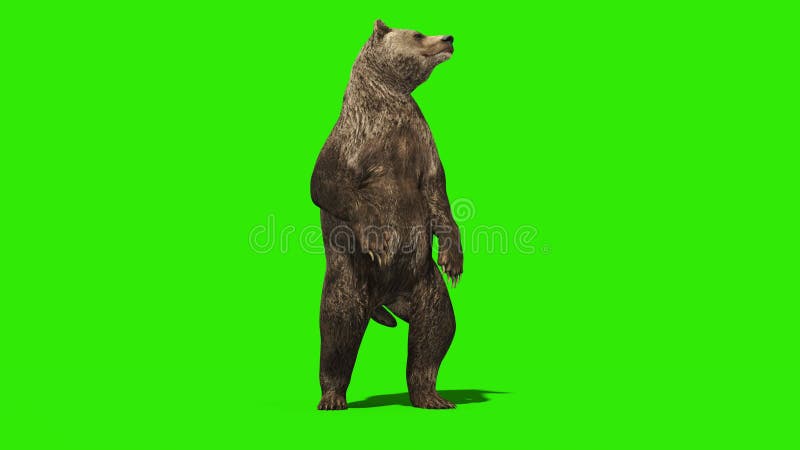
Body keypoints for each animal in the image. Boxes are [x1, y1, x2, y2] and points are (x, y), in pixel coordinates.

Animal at [310, 19, 462, 410]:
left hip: (423, 282)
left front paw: (453, 261)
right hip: (350, 279)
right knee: (338, 328)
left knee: (437, 327)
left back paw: (431, 395)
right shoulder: (352, 142)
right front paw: (379, 240)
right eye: (418, 34)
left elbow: (437, 194)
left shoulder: (421, 143)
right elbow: (326, 184)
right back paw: (332, 396)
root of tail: (385, 299)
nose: (449, 38)